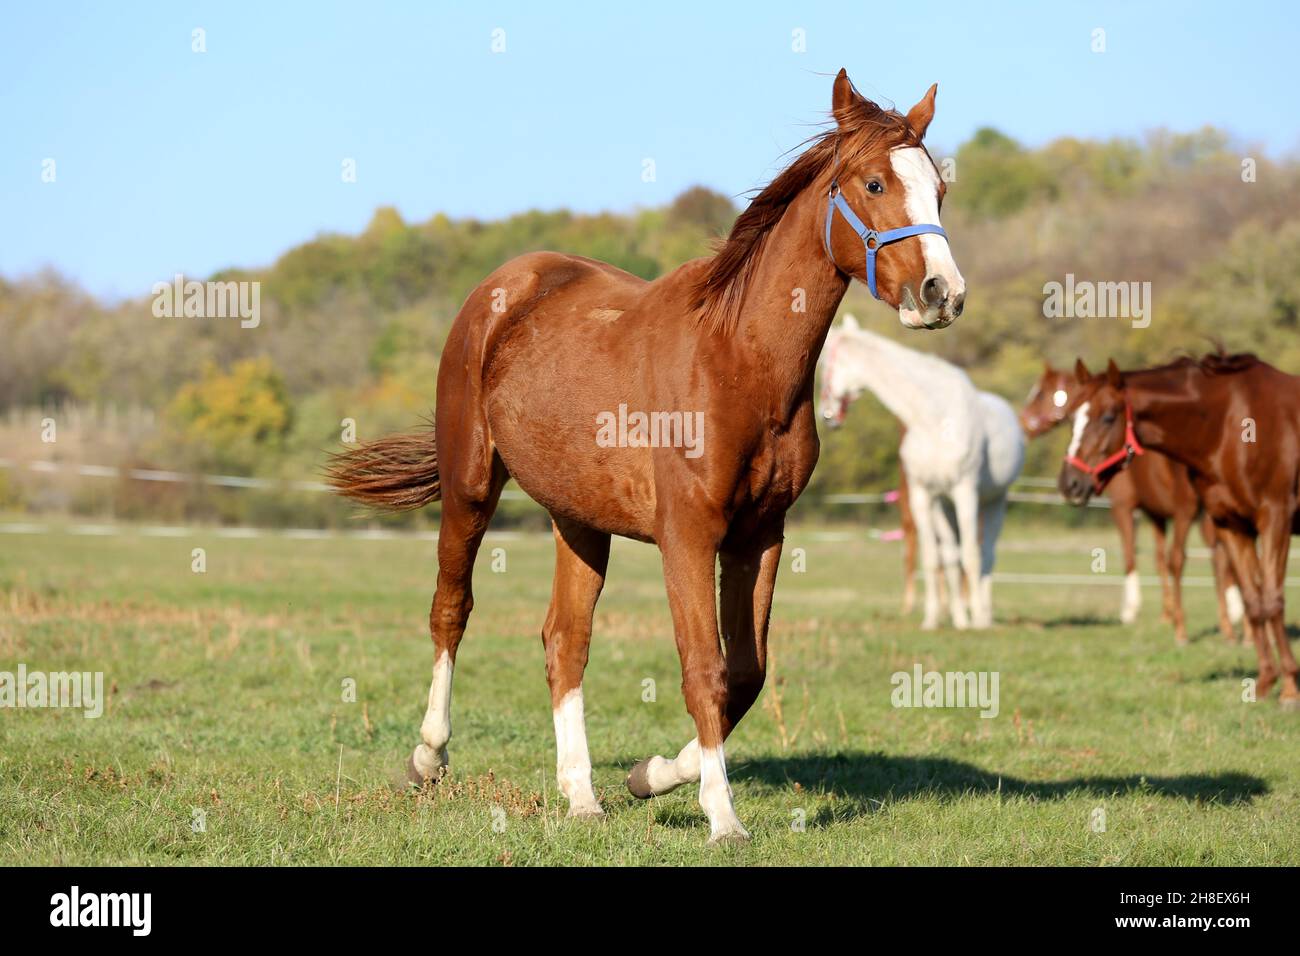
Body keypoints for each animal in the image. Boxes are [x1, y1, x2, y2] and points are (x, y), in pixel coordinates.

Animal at [326, 70, 966, 843]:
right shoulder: (687, 535)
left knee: (565, 640)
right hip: (471, 488)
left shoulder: (759, 535)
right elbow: (704, 668)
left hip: (579, 521)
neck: (737, 359)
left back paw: (582, 795)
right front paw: (722, 815)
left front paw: (652, 775)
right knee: (452, 610)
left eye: (939, 188)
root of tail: (504, 287)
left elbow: (744, 674)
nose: (943, 293)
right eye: (875, 183)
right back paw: (429, 757)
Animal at [819, 315, 1022, 629]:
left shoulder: (965, 490)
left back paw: (983, 616)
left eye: (825, 365)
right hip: (945, 506)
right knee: (951, 554)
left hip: (993, 502)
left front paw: (975, 619)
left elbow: (971, 555)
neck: (933, 418)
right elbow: (932, 558)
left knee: (986, 553)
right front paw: (933, 620)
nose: (827, 415)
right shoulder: (923, 495)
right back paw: (959, 616)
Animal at [1022, 363, 1242, 644]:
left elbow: (1130, 554)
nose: (1022, 422)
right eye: (1072, 418)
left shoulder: (1124, 507)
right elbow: (1159, 561)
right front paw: (1167, 615)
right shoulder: (1156, 515)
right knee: (1220, 558)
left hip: (1191, 511)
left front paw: (1130, 610)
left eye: (1039, 394)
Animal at [1058, 354, 1300, 707]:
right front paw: (1266, 683)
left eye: (1107, 417)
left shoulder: (1275, 519)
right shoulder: (1231, 525)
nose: (1069, 484)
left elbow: (1272, 600)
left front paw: (1290, 689)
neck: (1228, 426)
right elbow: (1254, 602)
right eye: (1071, 417)